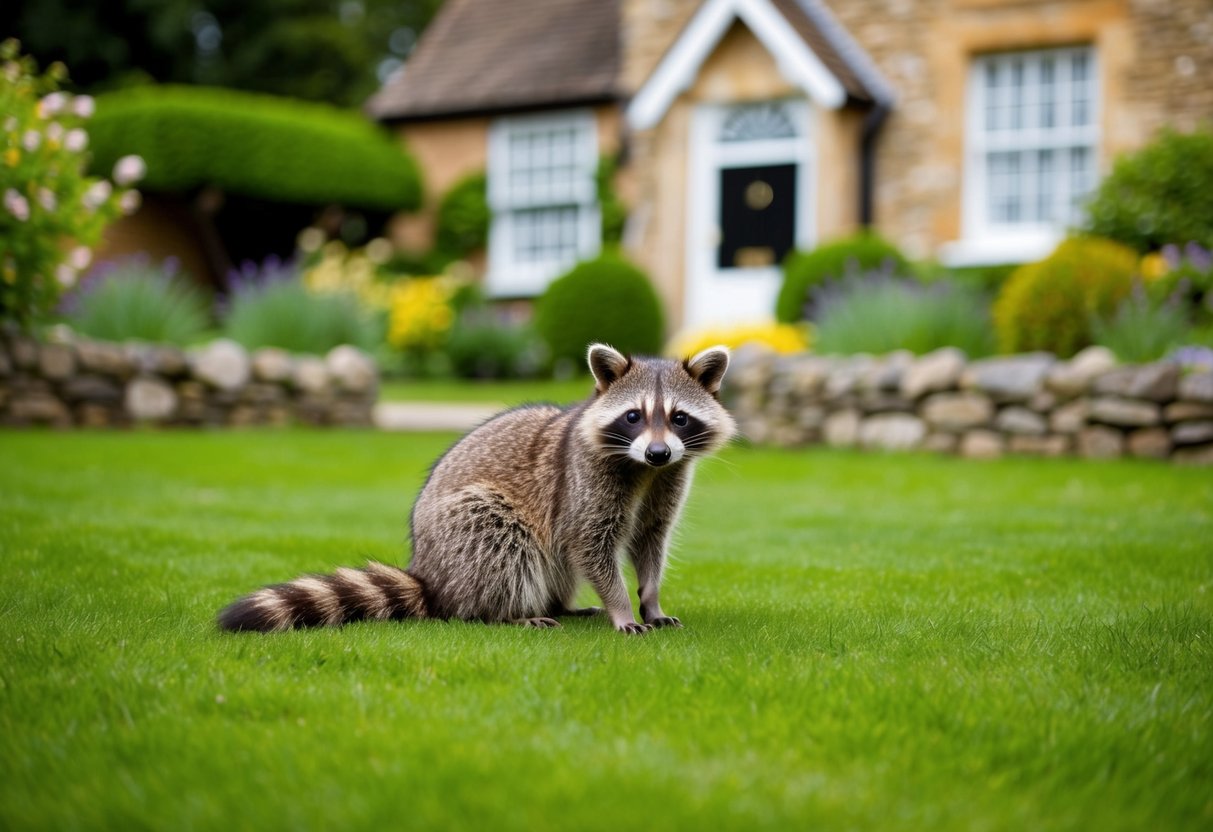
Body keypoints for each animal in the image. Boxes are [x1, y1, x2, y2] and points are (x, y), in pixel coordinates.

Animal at [217, 342, 736, 635]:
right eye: (633, 416)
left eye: (679, 418)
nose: (657, 452)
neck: (643, 470)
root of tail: (431, 574)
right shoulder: (584, 482)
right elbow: (589, 543)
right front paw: (623, 607)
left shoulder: (668, 482)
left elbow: (651, 542)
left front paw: (650, 600)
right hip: (467, 529)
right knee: (502, 542)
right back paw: (504, 612)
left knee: (553, 562)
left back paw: (559, 604)